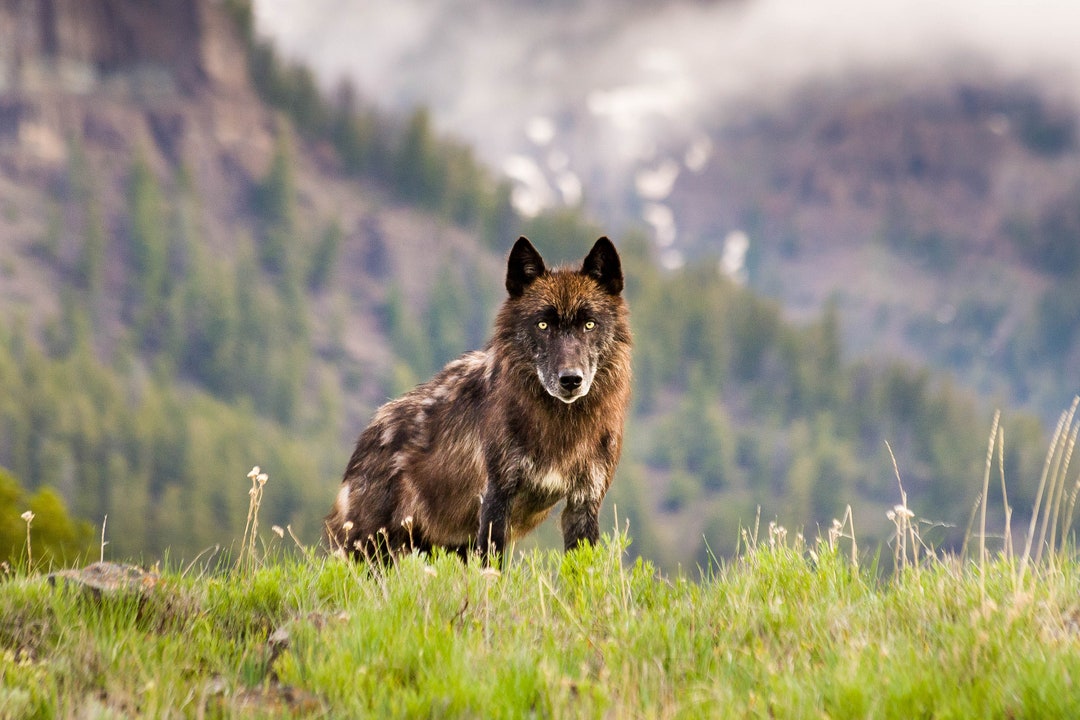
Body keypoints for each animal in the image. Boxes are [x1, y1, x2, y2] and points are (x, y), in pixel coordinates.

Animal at [325, 236, 632, 562]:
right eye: (543, 325)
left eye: (589, 324)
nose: (571, 380)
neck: (560, 428)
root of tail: (371, 430)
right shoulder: (496, 496)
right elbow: (492, 567)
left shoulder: (584, 502)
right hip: (372, 549)